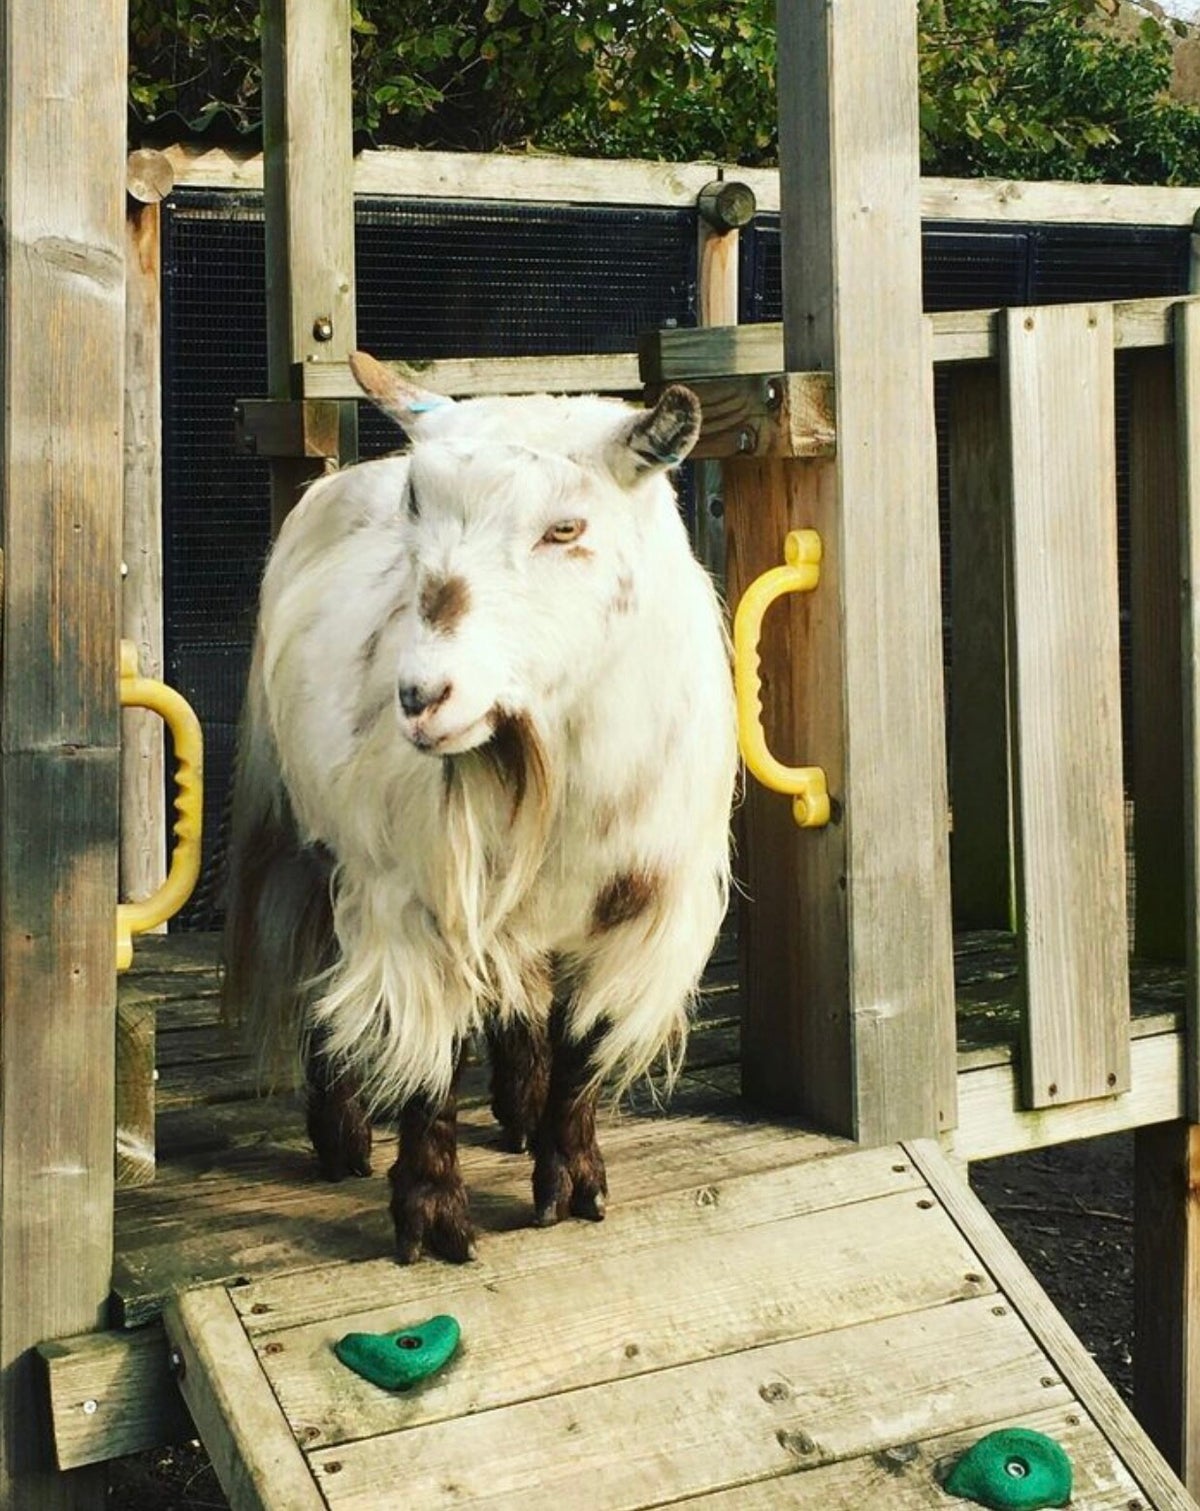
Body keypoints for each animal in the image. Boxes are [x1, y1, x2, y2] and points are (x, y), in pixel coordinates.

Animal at [222, 351, 737, 1263]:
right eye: (416, 509)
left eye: (565, 527)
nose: (422, 695)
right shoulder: (410, 897)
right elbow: (431, 1062)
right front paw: (431, 1217)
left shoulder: (634, 902)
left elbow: (581, 1042)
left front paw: (572, 1180)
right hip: (304, 832)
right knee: (322, 969)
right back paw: (341, 1135)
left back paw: (520, 1107)